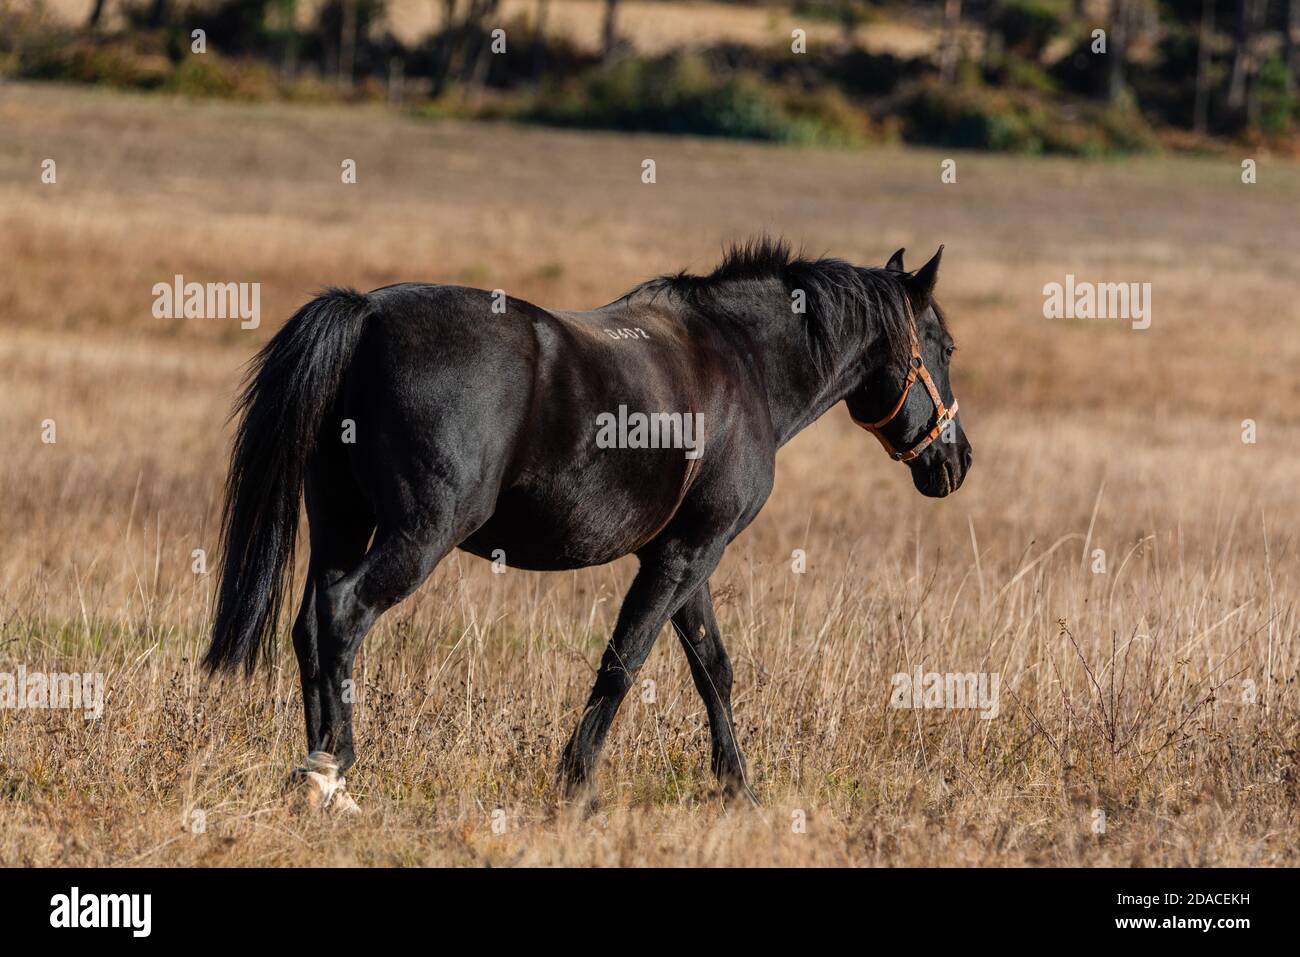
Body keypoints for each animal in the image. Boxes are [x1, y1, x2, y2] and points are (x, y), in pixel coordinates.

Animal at [204, 238, 972, 809]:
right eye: (945, 347)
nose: (956, 460)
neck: (741, 361)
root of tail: (365, 314)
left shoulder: (685, 554)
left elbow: (713, 670)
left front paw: (738, 786)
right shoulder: (688, 553)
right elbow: (624, 660)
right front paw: (577, 782)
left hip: (342, 521)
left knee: (310, 625)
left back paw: (313, 773)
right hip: (420, 533)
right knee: (344, 611)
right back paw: (334, 768)